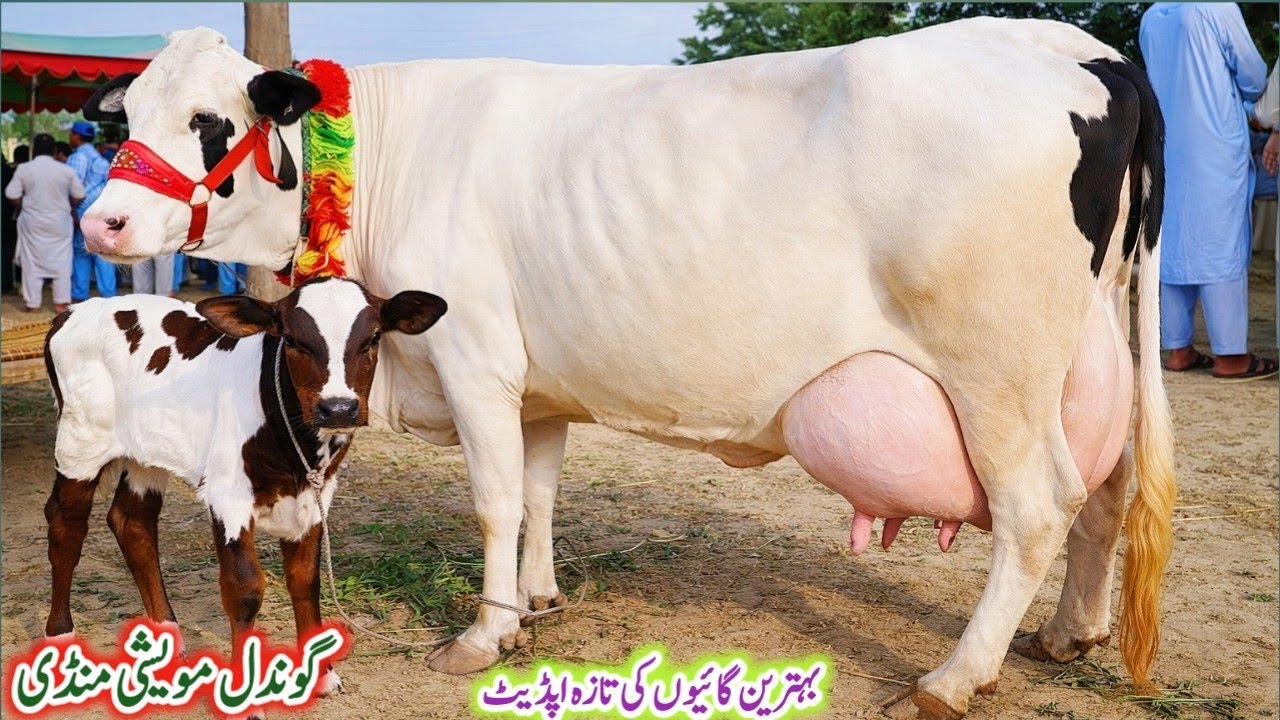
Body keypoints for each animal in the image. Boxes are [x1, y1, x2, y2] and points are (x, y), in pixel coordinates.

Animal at [43, 277, 447, 698]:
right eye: (293, 340)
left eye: (373, 338)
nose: (338, 408)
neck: (294, 447)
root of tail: (76, 311)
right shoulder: (228, 496)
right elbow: (244, 589)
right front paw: (244, 694)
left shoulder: (315, 496)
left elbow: (305, 581)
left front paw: (322, 673)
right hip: (80, 444)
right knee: (66, 529)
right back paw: (61, 637)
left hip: (147, 454)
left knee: (132, 522)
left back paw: (166, 634)